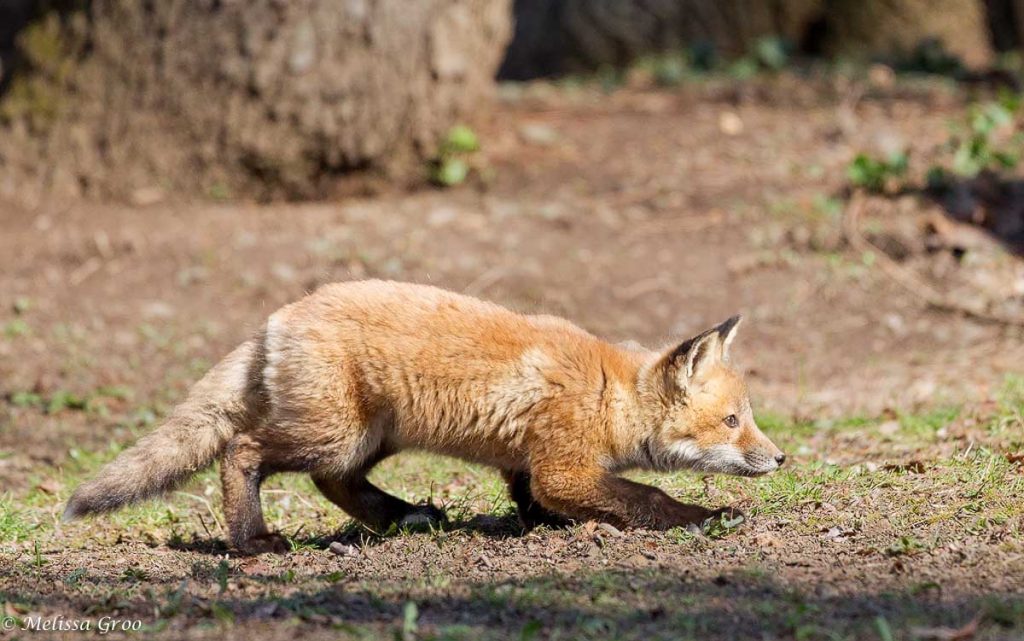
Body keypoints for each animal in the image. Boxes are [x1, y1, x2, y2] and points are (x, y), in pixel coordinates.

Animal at [63, 280, 785, 553]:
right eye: (732, 422)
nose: (780, 457)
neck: (610, 392)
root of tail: (278, 316)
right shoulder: (563, 464)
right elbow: (647, 495)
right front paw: (705, 517)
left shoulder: (528, 464)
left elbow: (533, 499)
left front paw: (550, 529)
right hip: (332, 434)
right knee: (241, 450)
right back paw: (252, 541)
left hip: (369, 438)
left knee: (335, 483)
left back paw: (403, 517)